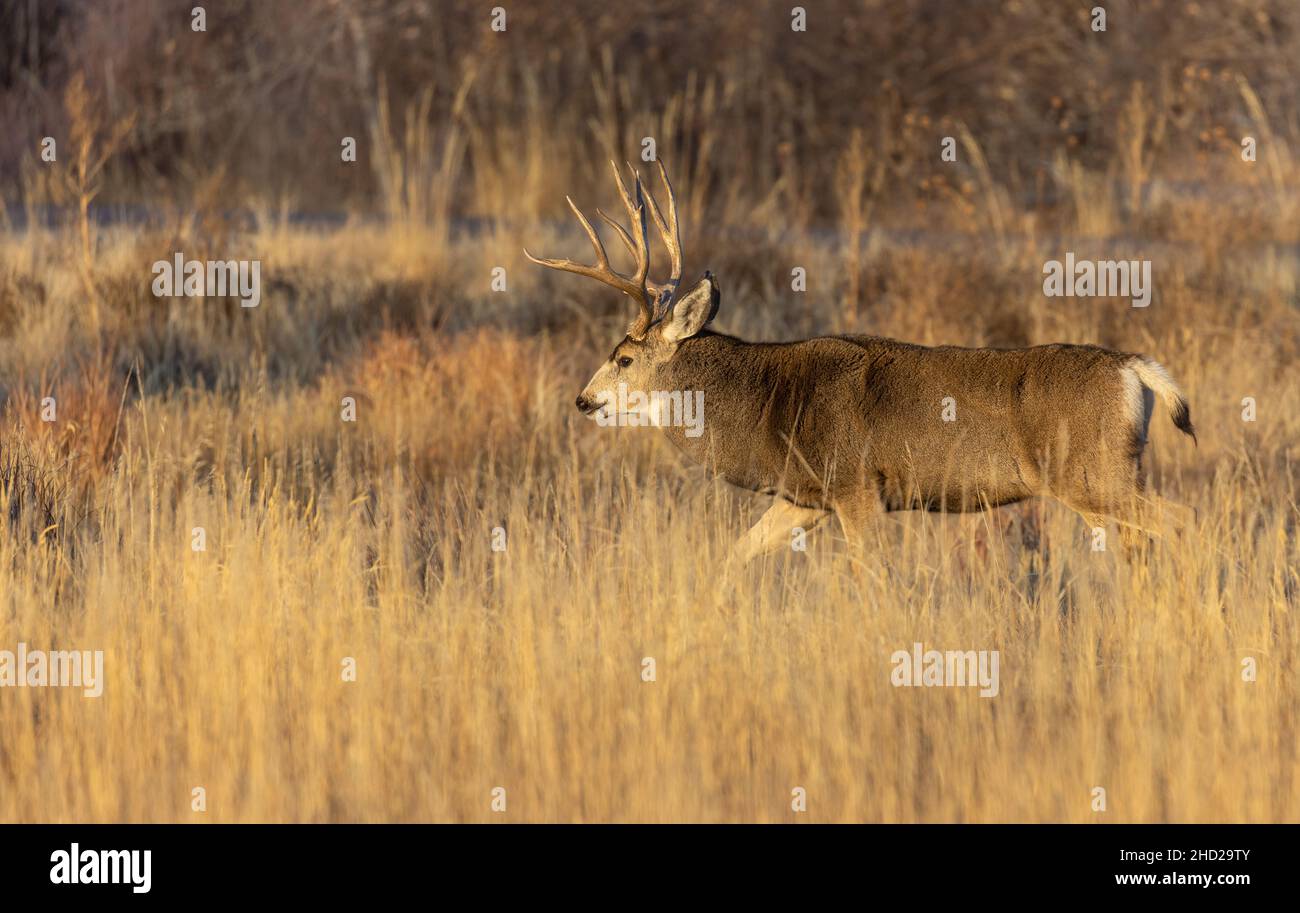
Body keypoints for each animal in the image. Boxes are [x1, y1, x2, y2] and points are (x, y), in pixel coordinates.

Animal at [525, 160, 1197, 571]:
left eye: (624, 356)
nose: (583, 399)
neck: (767, 405)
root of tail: (1134, 370)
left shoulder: (856, 487)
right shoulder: (804, 497)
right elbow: (733, 558)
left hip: (1091, 474)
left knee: (1184, 522)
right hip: (1111, 476)